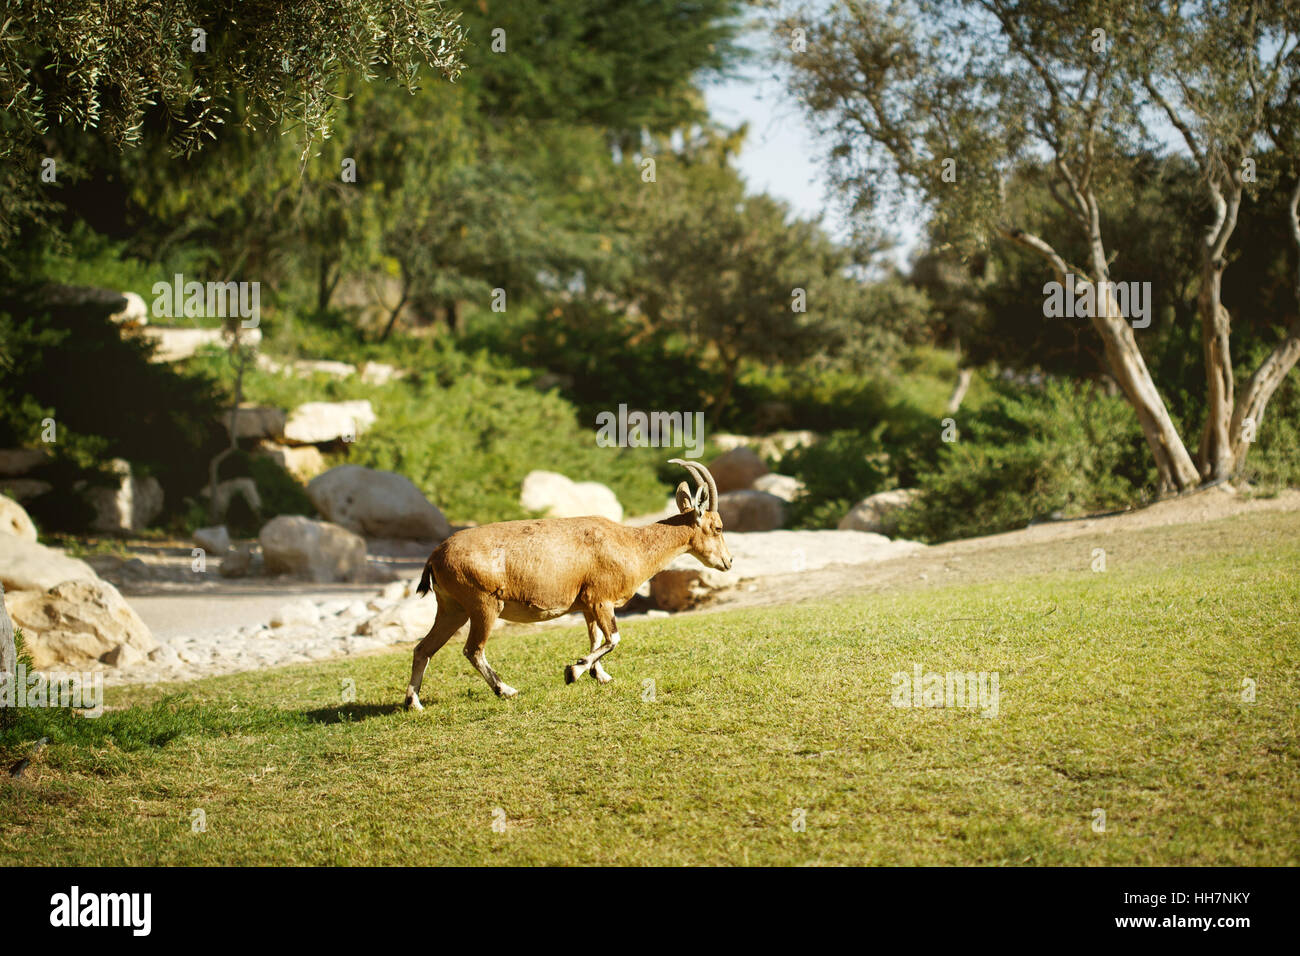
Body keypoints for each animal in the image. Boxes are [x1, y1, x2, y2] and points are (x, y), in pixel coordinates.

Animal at [404, 459, 732, 708]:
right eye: (717, 527)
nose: (728, 562)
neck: (630, 544)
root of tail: (436, 555)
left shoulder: (587, 606)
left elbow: (596, 640)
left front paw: (599, 675)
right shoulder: (601, 600)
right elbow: (613, 638)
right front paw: (573, 671)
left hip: (452, 609)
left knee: (423, 649)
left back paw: (413, 703)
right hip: (483, 605)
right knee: (472, 650)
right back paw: (506, 690)